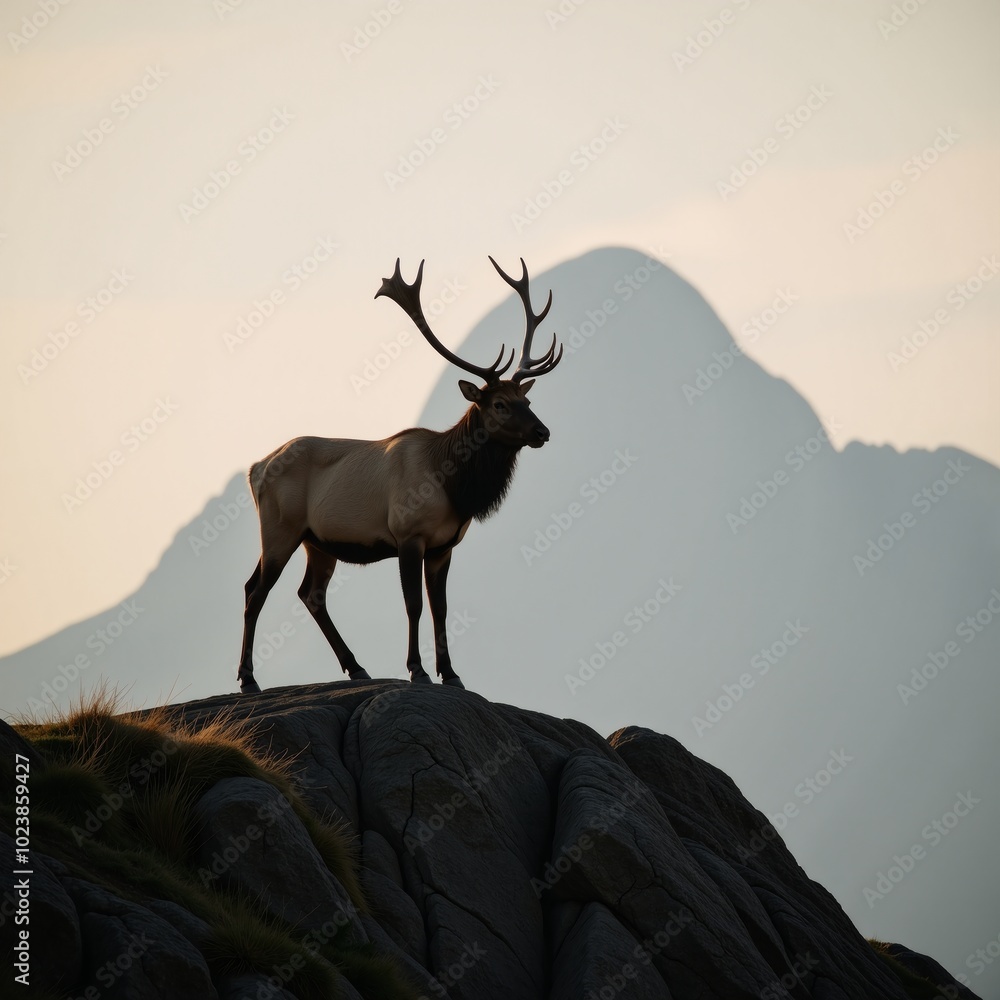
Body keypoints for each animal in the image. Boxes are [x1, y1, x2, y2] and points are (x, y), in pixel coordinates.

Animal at [236, 256, 563, 694]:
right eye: (499, 404)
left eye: (525, 400)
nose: (542, 432)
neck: (455, 488)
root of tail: (256, 468)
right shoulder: (408, 534)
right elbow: (414, 605)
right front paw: (418, 670)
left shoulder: (445, 546)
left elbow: (441, 608)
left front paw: (452, 674)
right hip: (279, 529)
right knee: (255, 590)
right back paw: (248, 679)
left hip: (317, 540)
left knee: (311, 593)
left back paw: (357, 667)